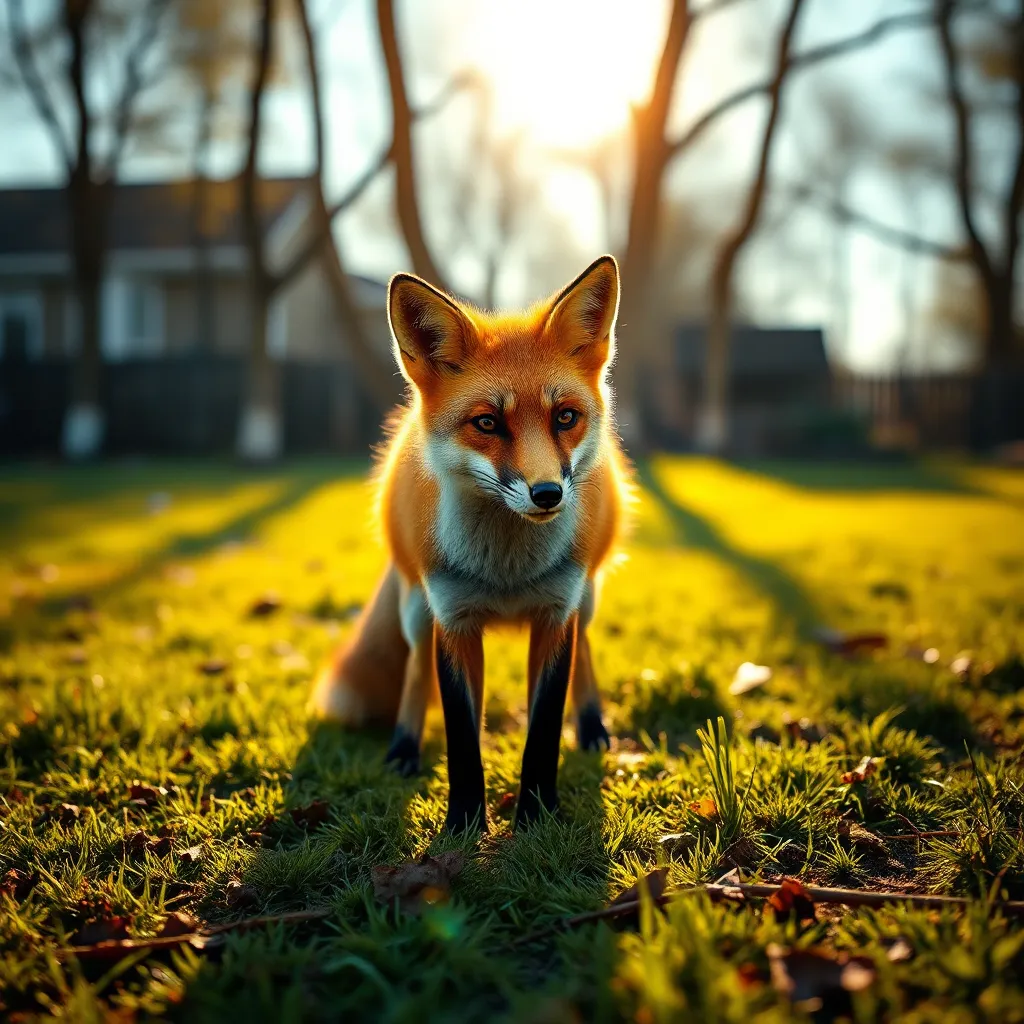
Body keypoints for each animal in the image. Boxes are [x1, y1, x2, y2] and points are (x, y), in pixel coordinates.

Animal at [310, 254, 633, 832]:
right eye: (487, 422)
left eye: (565, 417)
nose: (547, 494)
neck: (506, 571)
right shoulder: (454, 617)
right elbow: (463, 738)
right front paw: (463, 824)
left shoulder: (556, 613)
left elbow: (542, 733)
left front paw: (536, 817)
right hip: (417, 609)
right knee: (416, 672)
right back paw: (404, 749)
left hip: (588, 598)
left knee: (587, 650)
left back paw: (592, 725)